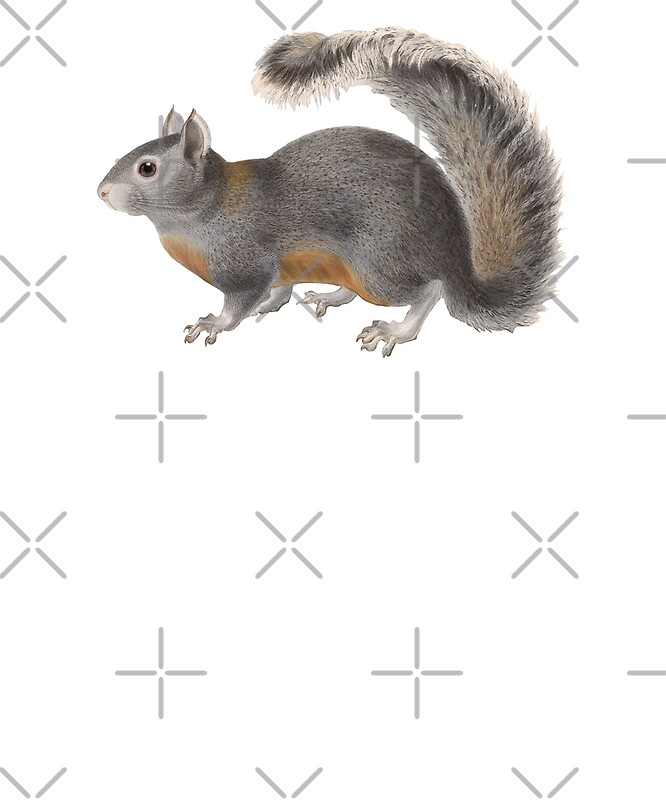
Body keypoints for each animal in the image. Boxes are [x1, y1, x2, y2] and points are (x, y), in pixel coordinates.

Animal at [97, 27, 563, 356]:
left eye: (146, 168)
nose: (101, 192)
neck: (203, 210)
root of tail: (456, 258)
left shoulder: (247, 260)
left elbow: (240, 302)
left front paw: (215, 323)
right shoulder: (279, 268)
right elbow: (278, 291)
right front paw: (270, 305)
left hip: (380, 263)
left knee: (429, 290)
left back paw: (397, 329)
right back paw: (329, 295)